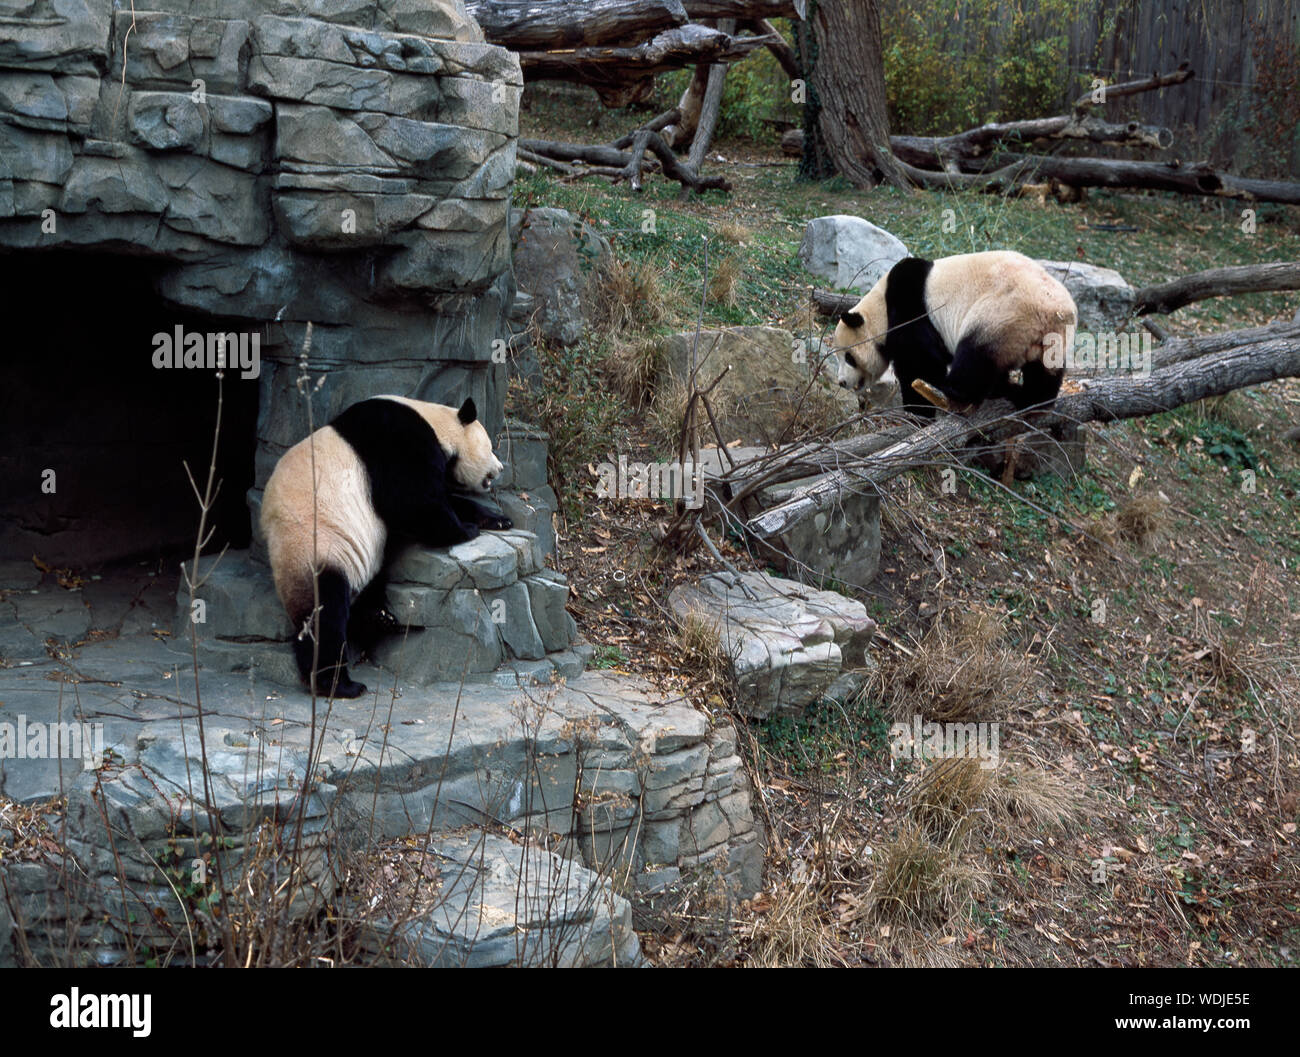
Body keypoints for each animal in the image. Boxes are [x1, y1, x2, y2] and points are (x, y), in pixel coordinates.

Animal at [260, 395, 511, 699]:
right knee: (325, 616)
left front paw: (498, 519)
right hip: (315, 547)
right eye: (490, 447)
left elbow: (446, 499)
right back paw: (339, 684)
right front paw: (464, 530)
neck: (435, 421)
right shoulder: (395, 439)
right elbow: (411, 500)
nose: (500, 468)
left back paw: (379, 617)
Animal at [833, 250, 1076, 416]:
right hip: (1054, 340)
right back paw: (1031, 399)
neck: (880, 307)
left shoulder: (909, 305)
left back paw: (953, 392)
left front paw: (917, 409)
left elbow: (919, 361)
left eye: (849, 357)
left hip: (1002, 314)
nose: (842, 382)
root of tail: (1050, 314)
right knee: (1044, 373)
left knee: (975, 357)